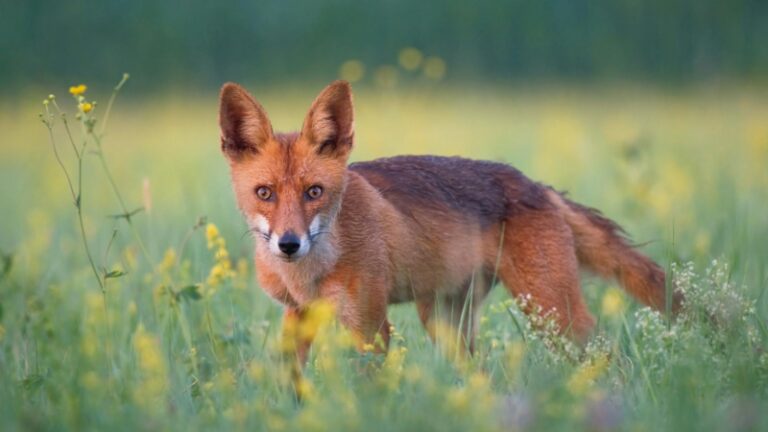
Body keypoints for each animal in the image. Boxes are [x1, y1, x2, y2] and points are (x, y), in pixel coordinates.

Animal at [218, 80, 681, 359]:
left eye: (314, 192)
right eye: (265, 193)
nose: (288, 244)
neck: (309, 274)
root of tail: (534, 183)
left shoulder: (369, 323)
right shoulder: (296, 315)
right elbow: (291, 385)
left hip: (550, 310)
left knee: (603, 350)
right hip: (444, 320)